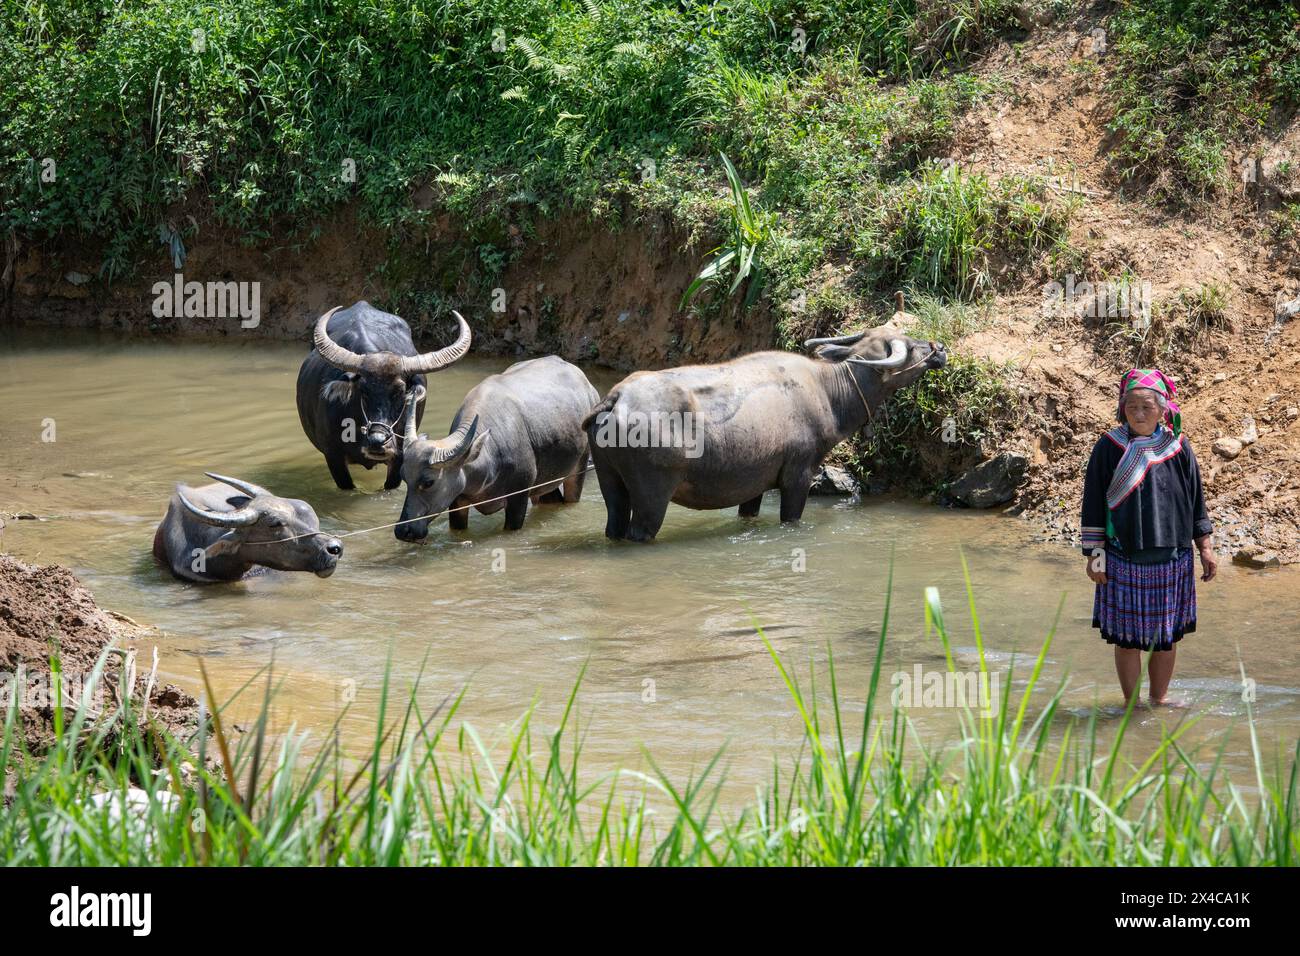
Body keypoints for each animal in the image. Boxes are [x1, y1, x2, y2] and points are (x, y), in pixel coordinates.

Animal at [395, 356, 599, 540]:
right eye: (404, 476)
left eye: (428, 482)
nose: (403, 531)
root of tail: (588, 386)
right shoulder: (457, 501)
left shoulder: (518, 498)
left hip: (579, 465)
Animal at [584, 298, 947, 540]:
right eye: (910, 348)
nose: (940, 348)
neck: (829, 392)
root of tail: (616, 398)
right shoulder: (799, 475)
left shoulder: (752, 484)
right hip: (652, 496)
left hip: (609, 481)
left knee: (614, 524)